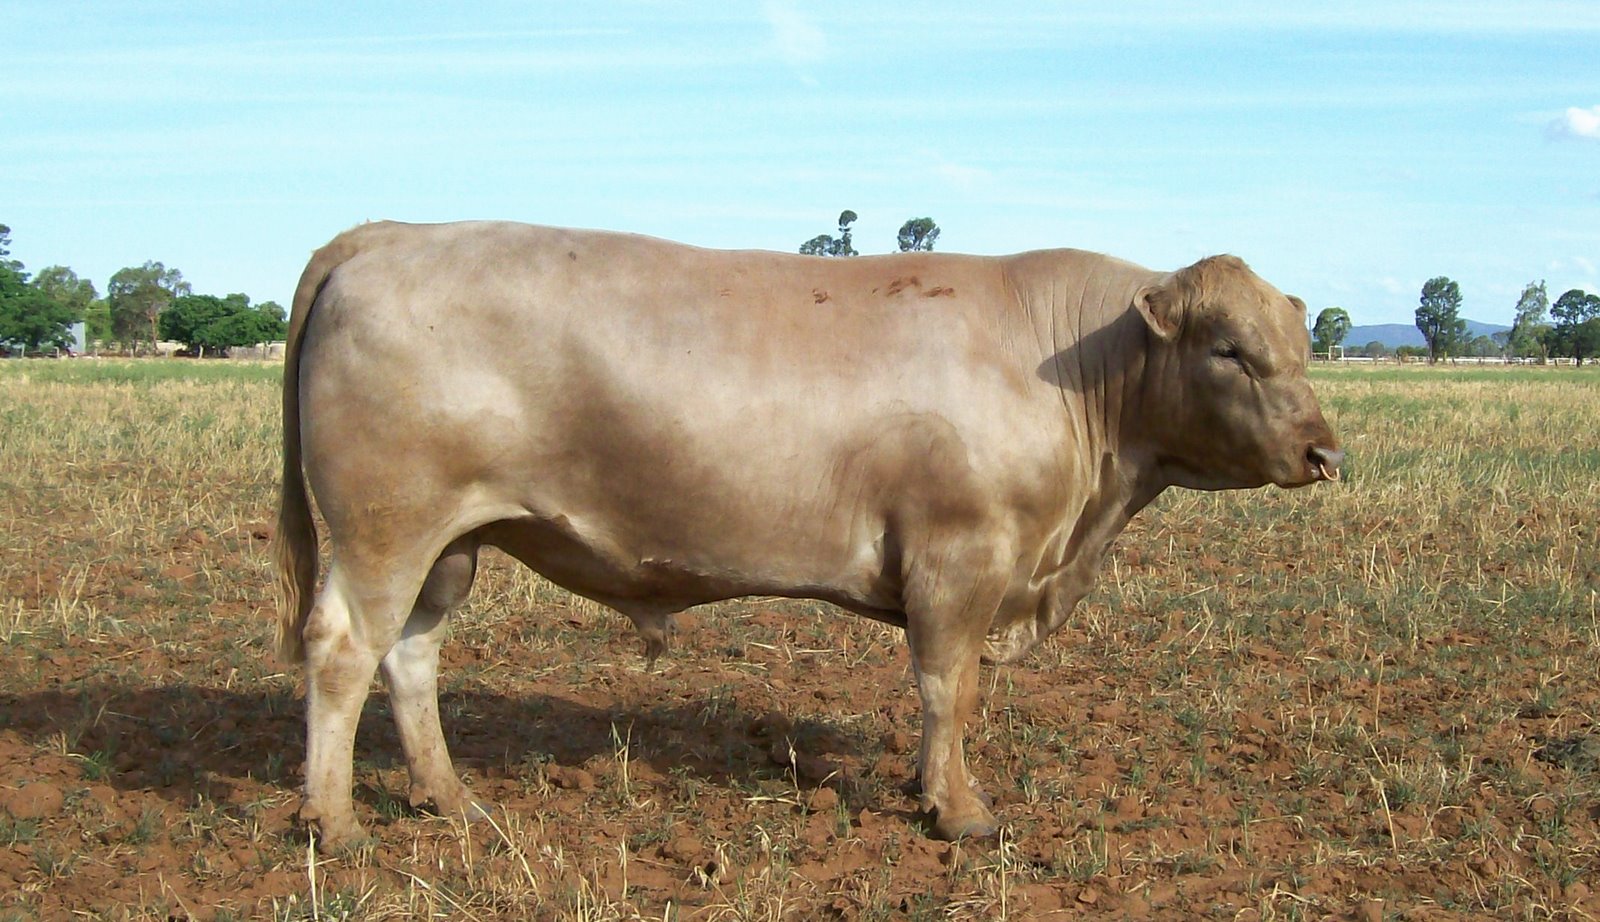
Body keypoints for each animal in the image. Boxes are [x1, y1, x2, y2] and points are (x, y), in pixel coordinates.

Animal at [273, 220, 1342, 847]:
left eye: (1300, 345)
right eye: (1230, 350)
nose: (1324, 451)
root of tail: (390, 236)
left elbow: (945, 699)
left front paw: (928, 787)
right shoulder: (960, 557)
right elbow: (948, 687)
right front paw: (961, 812)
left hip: (450, 544)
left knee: (411, 657)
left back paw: (448, 798)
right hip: (386, 527)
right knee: (343, 650)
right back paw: (335, 823)